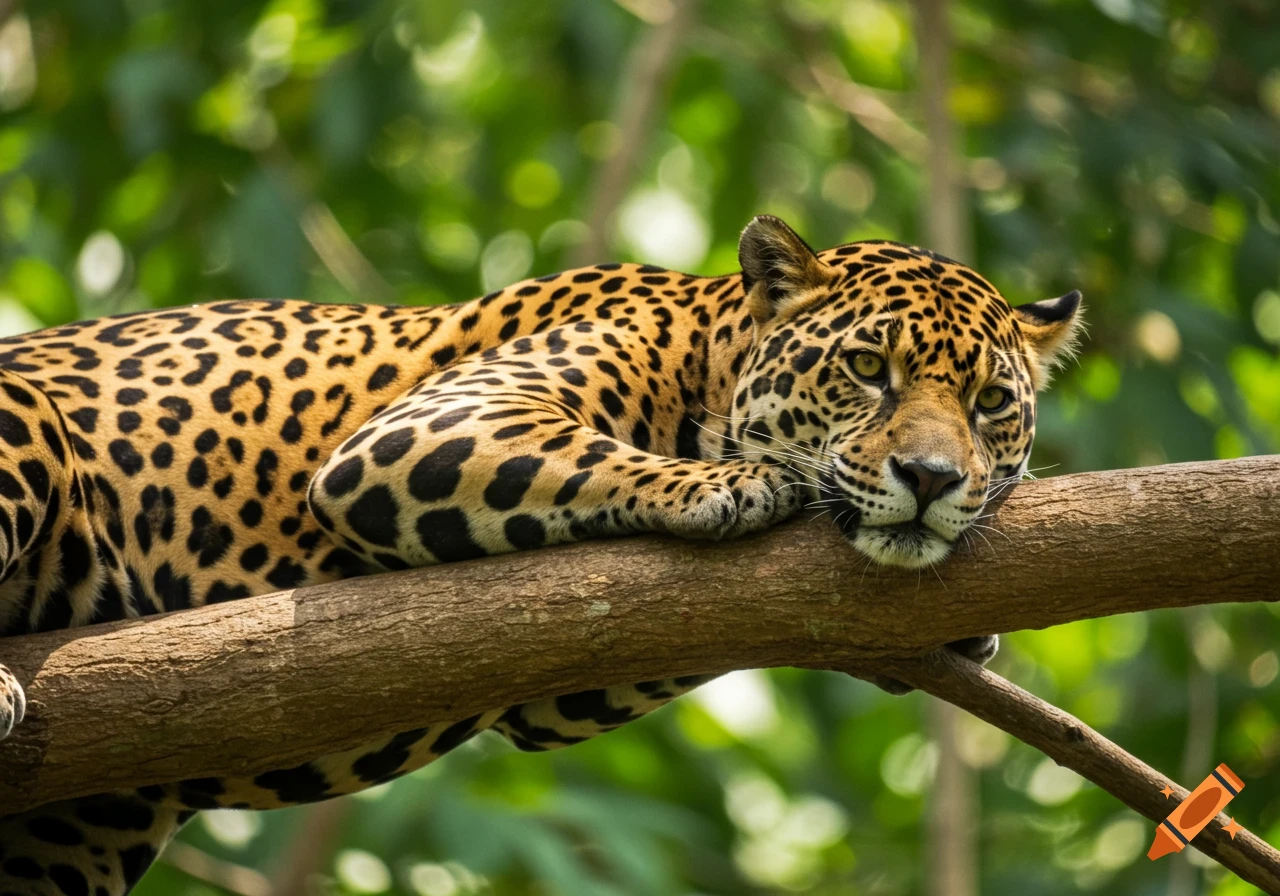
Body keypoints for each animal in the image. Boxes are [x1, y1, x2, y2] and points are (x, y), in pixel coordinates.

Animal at [0, 215, 1082, 895]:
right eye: (866, 367)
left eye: (991, 400)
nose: (931, 476)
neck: (707, 355)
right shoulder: (432, 426)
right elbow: (602, 457)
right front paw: (736, 485)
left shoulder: (560, 693)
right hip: (28, 423)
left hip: (78, 832)